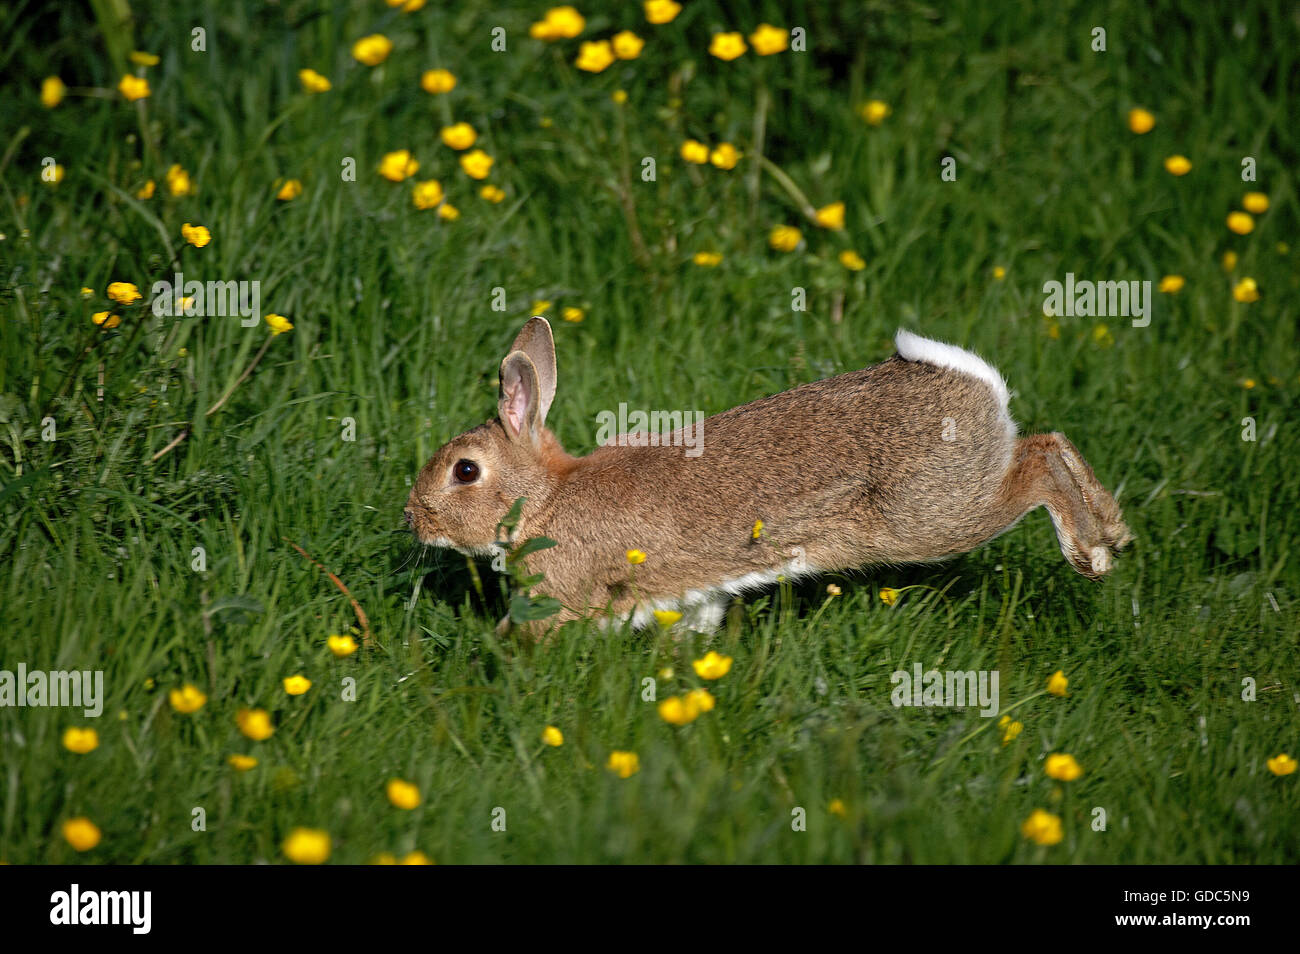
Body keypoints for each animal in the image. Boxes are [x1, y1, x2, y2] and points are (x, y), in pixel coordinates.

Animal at [406, 317, 1131, 633]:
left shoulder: (561, 595)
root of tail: (975, 387)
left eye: (464, 471)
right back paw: (1112, 536)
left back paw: (1090, 552)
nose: (413, 519)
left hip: (933, 513)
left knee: (1036, 466)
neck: (542, 498)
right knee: (1049, 441)